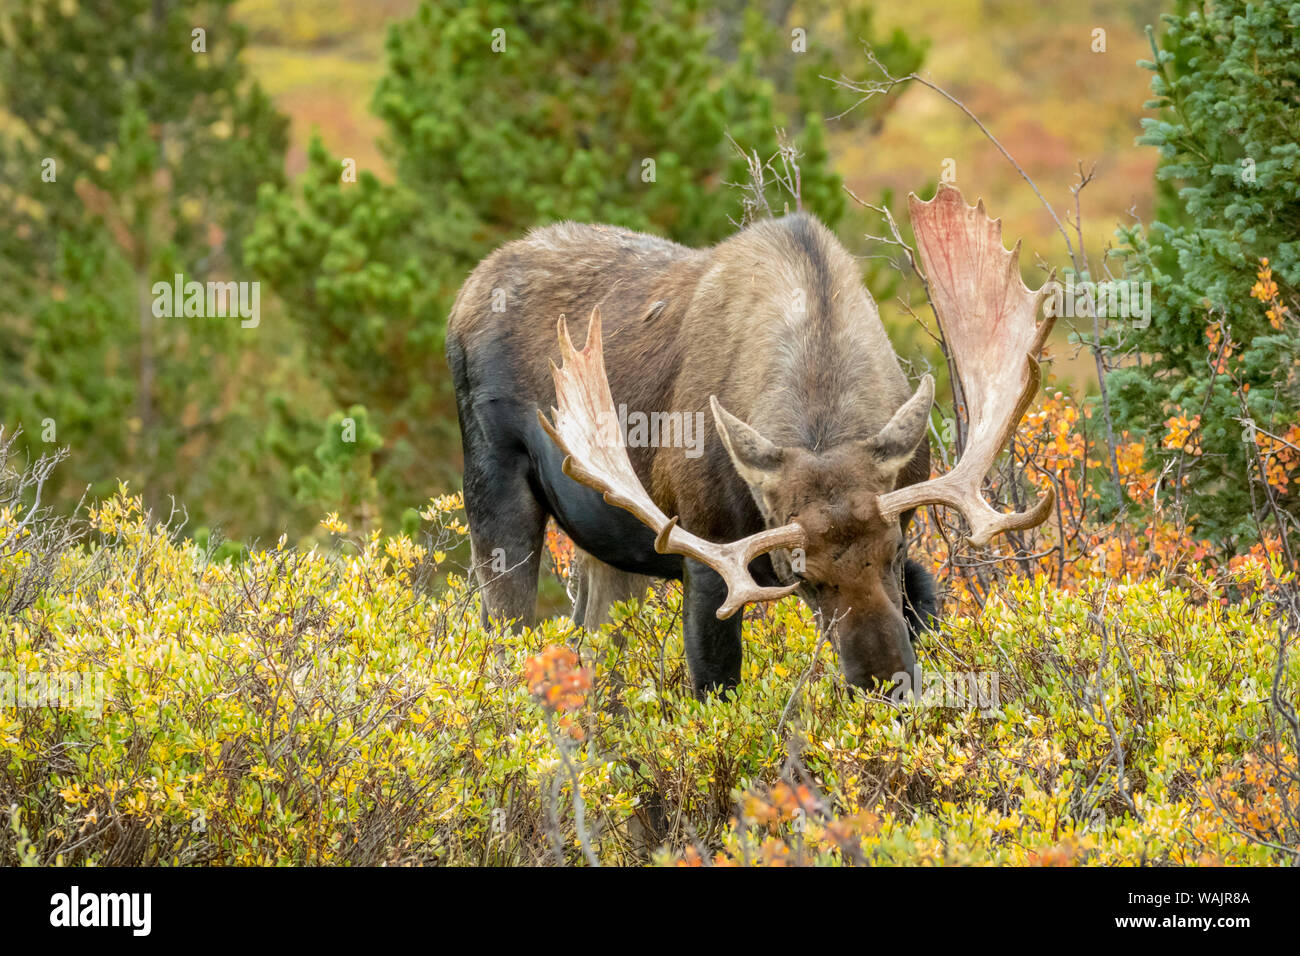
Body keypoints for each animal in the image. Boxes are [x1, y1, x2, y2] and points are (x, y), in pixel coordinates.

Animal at [446, 183, 1054, 695]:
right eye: (801, 574)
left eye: (895, 549)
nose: (887, 681)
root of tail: (464, 294)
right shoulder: (705, 550)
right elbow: (716, 686)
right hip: (493, 484)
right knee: (503, 639)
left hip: (608, 538)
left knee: (592, 648)